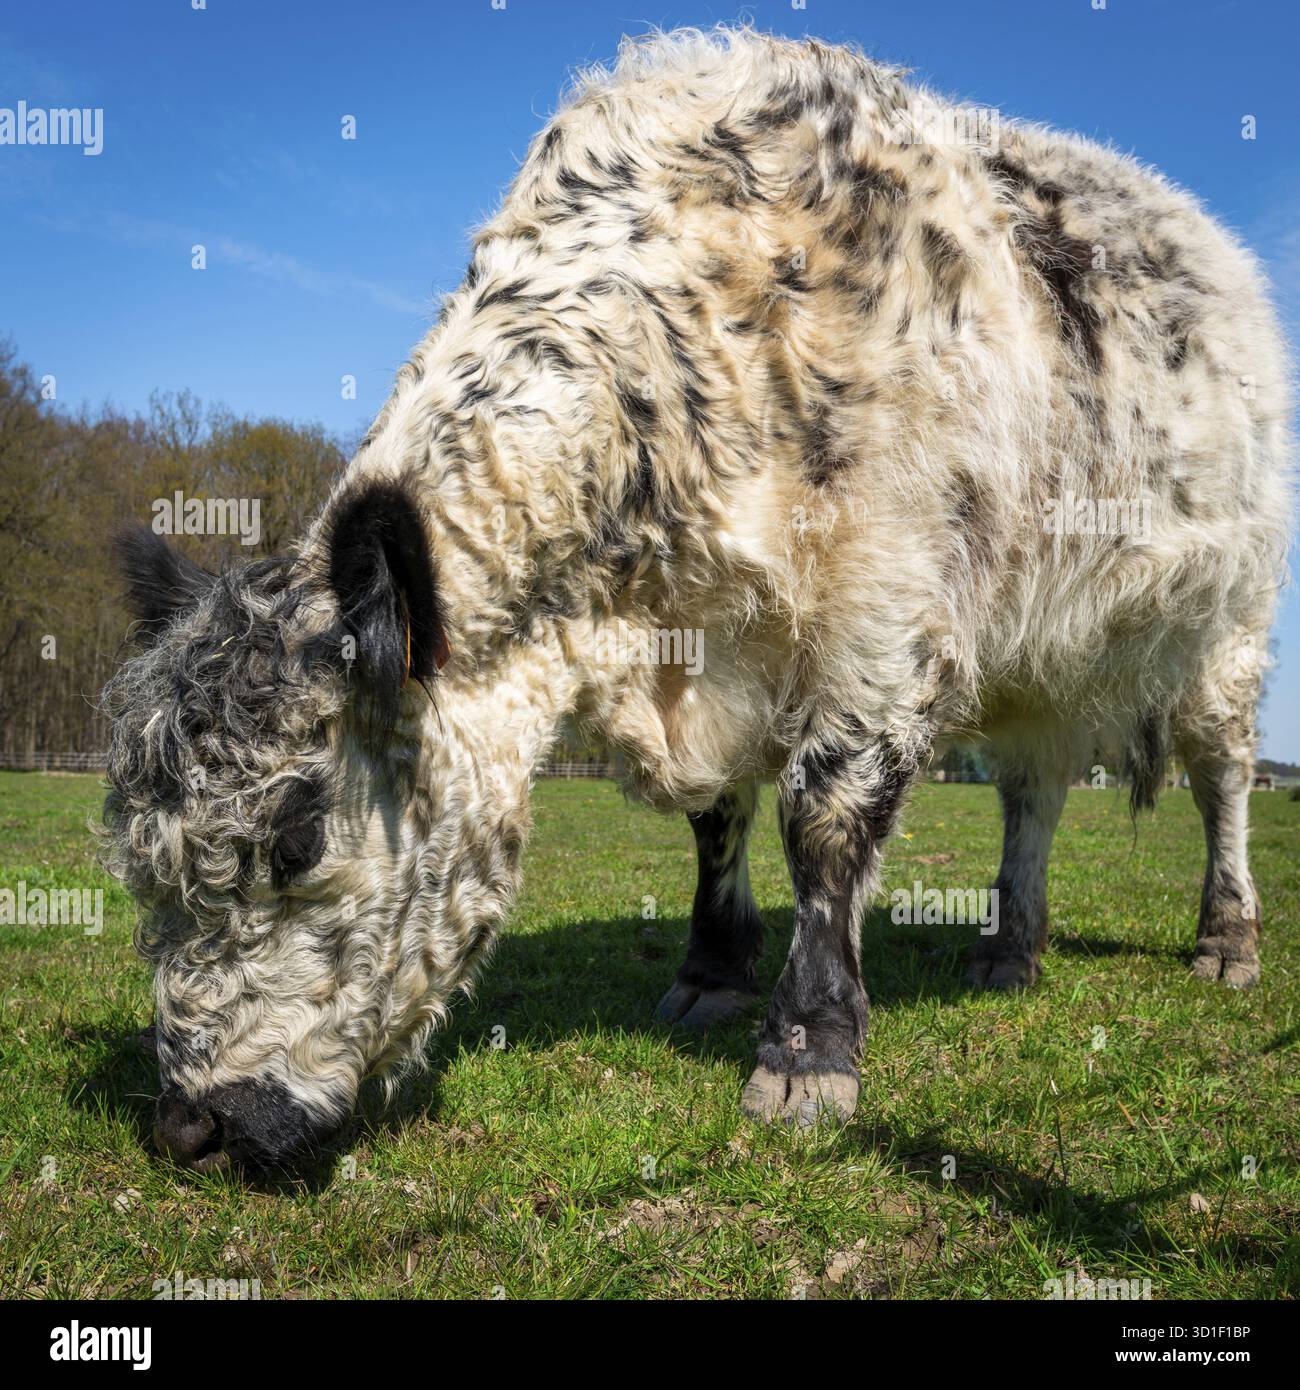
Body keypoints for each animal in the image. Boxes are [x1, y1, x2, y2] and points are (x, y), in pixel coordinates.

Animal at [101, 28, 1292, 1171]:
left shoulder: (882, 612)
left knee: (1221, 776)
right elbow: (717, 817)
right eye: (138, 862)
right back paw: (1009, 945)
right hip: (1036, 651)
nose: (191, 1128)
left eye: (299, 839)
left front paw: (807, 1049)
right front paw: (714, 970)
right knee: (1032, 791)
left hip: (1231, 625)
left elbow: (825, 820)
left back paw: (1225, 938)